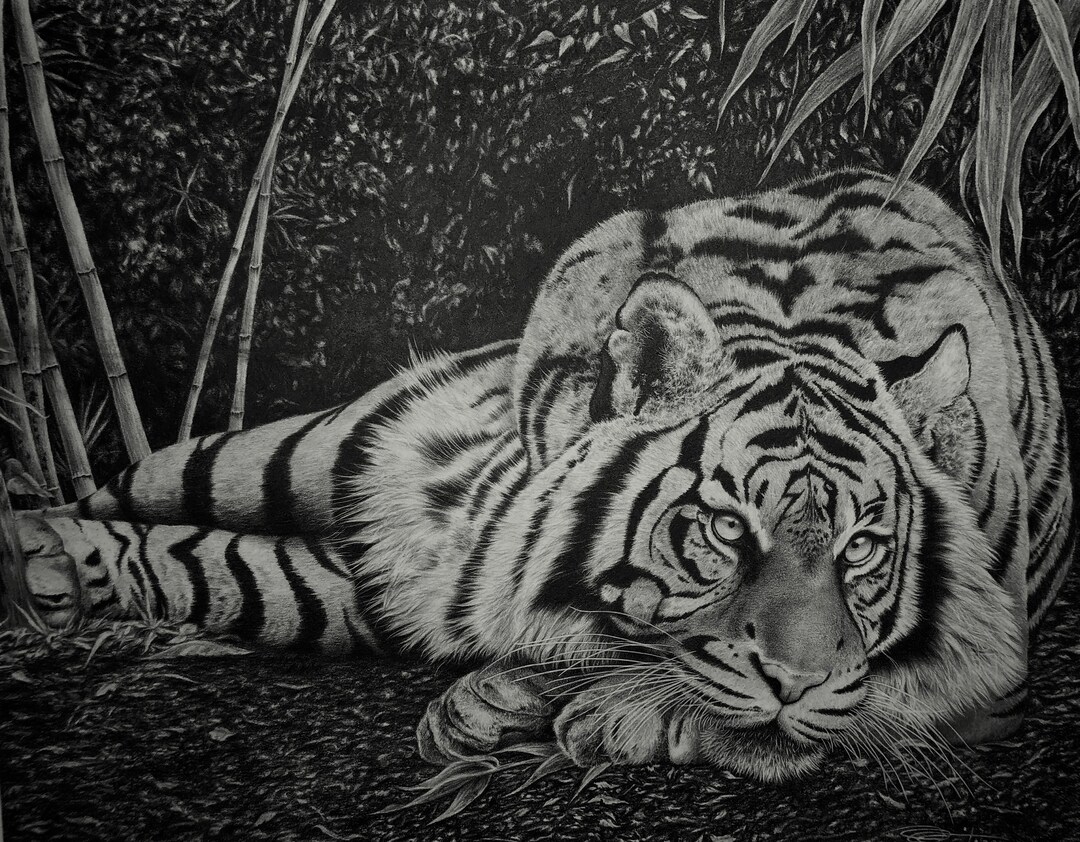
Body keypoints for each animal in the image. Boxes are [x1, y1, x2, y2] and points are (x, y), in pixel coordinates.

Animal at [17, 168, 1073, 783]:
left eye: (863, 546)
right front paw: (507, 700)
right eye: (729, 528)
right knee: (147, 494)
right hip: (311, 455)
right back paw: (39, 551)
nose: (799, 681)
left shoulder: (994, 667)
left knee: (226, 566)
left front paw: (587, 712)